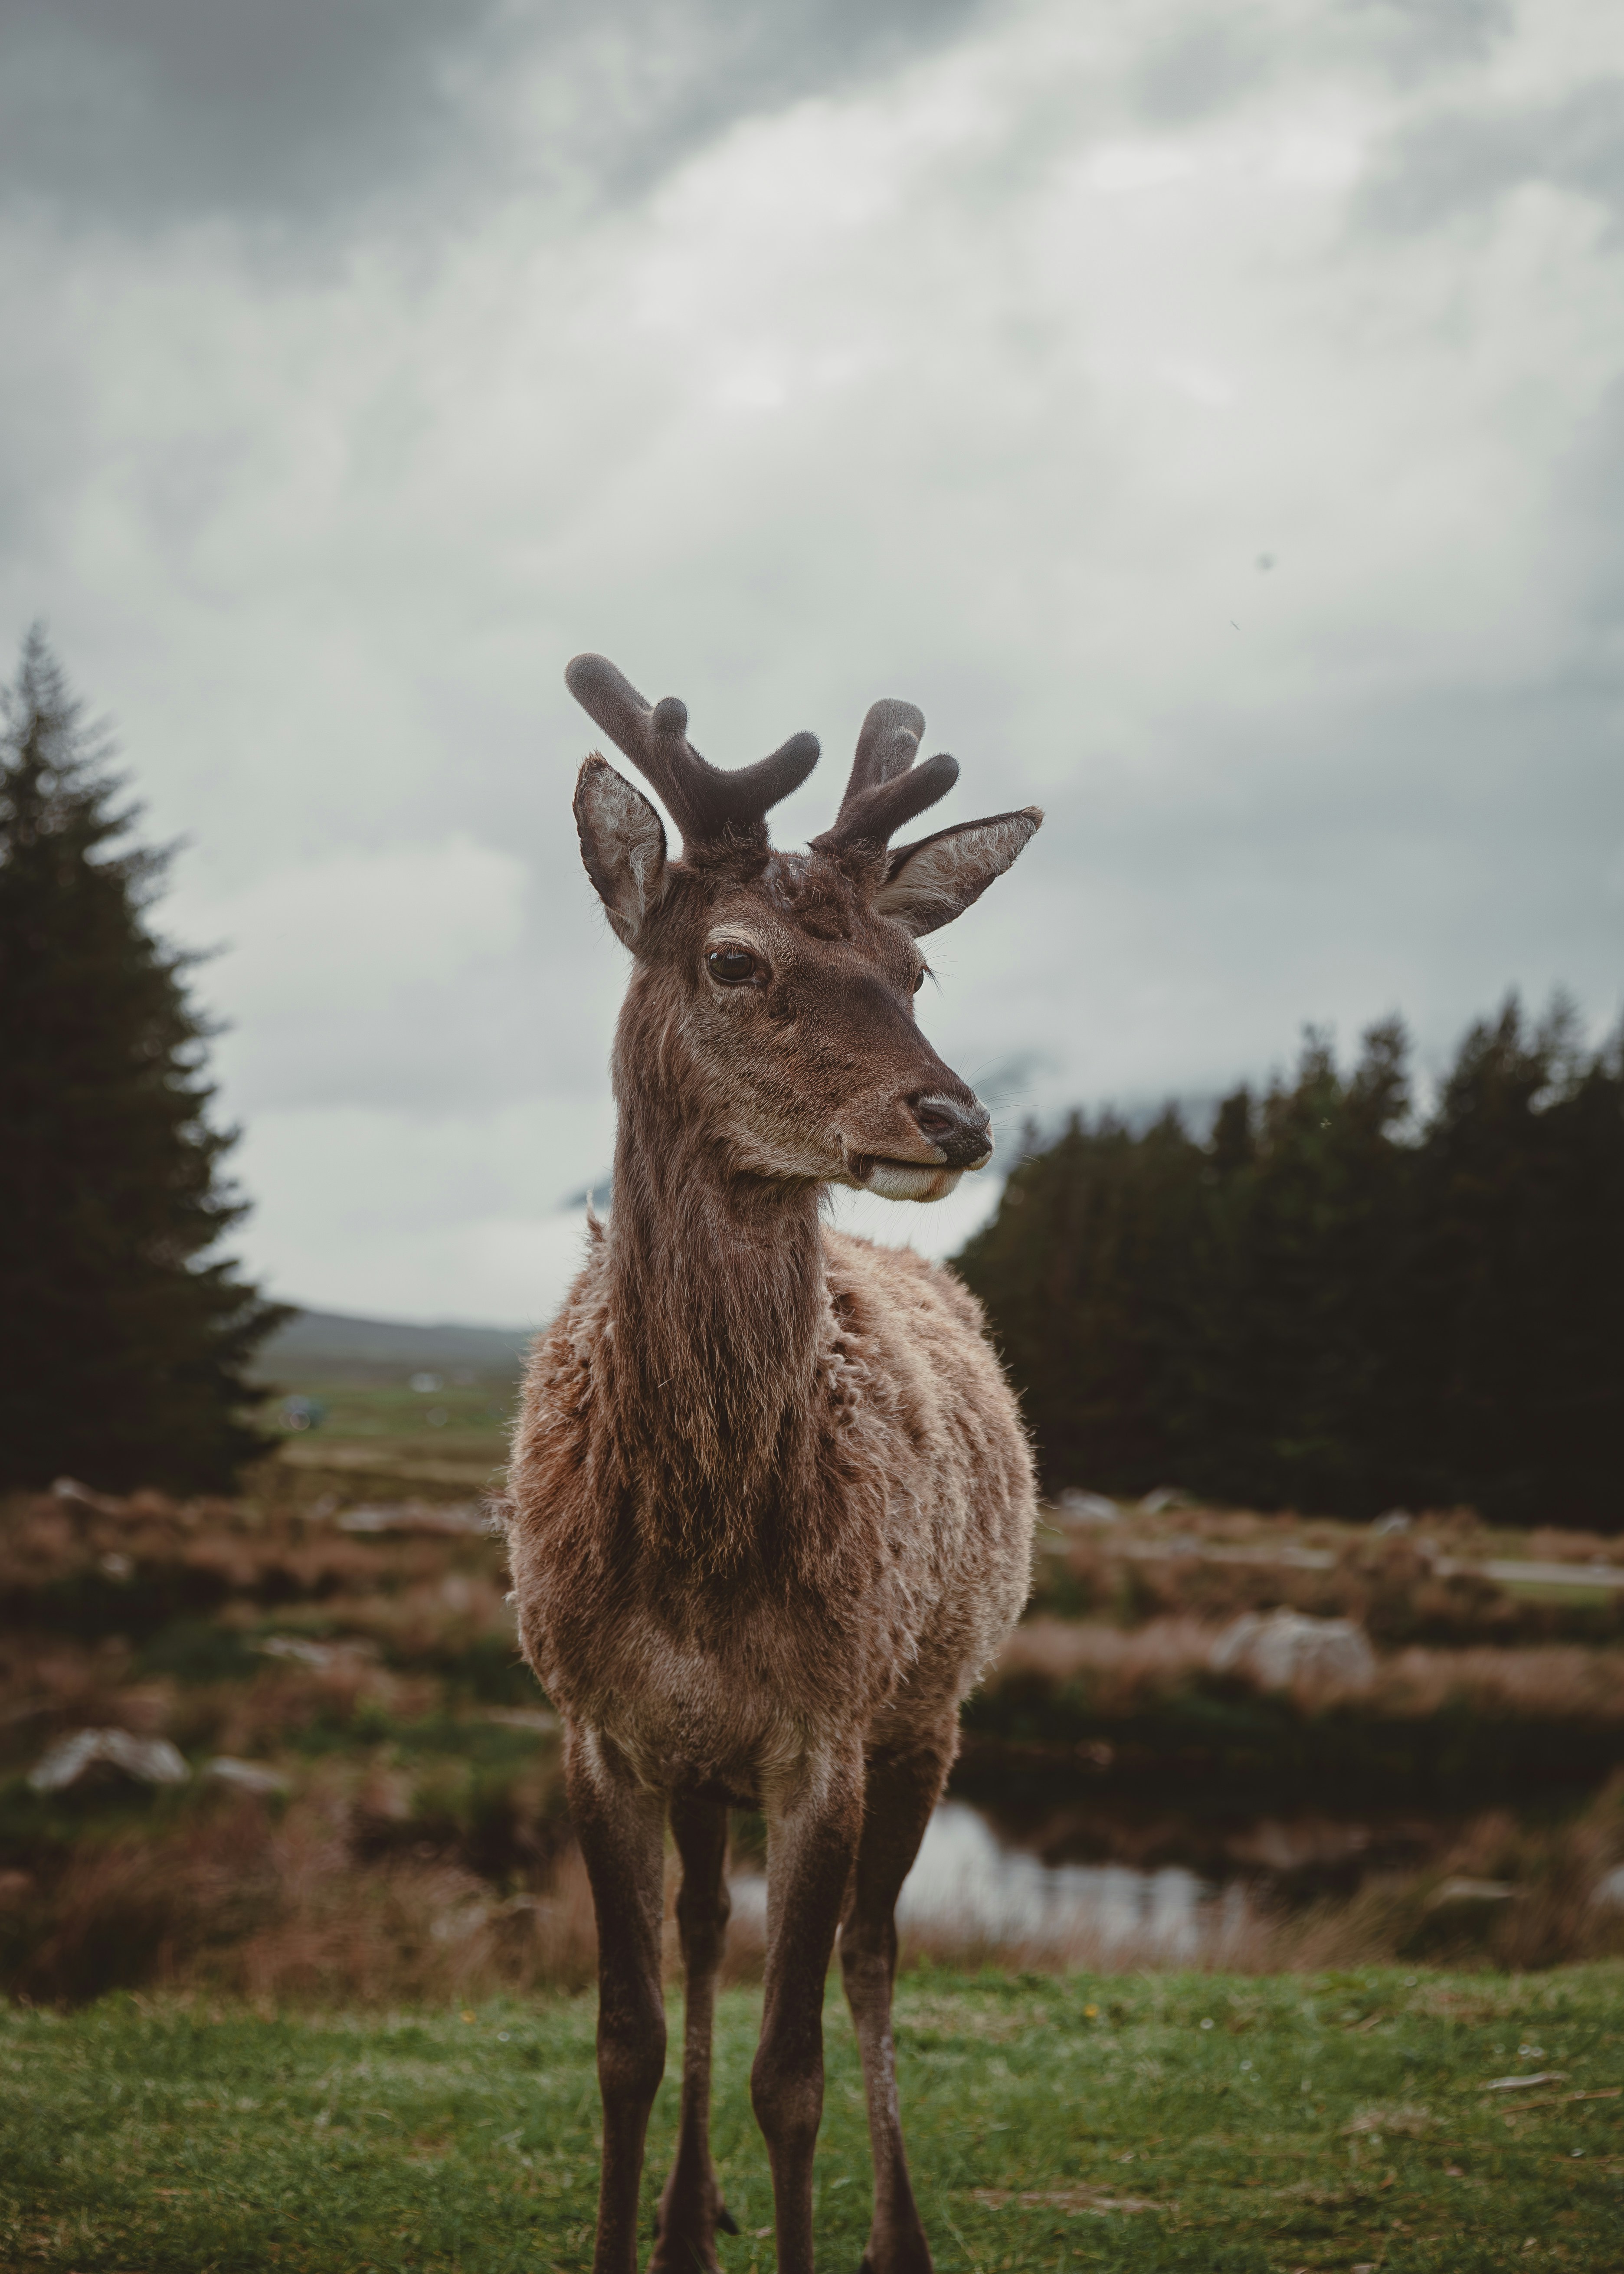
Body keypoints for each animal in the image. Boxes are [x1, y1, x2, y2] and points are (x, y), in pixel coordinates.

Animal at [506, 654, 1041, 2274]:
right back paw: (693, 2218)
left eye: (914, 973)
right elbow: (622, 2038)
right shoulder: (597, 1723)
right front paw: (633, 2231)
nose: (954, 1114)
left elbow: (789, 2069)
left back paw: (897, 2234)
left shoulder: (825, 1728)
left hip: (929, 1707)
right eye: (733, 960)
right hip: (707, 1766)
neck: (691, 1546)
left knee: (874, 1952)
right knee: (701, 1925)